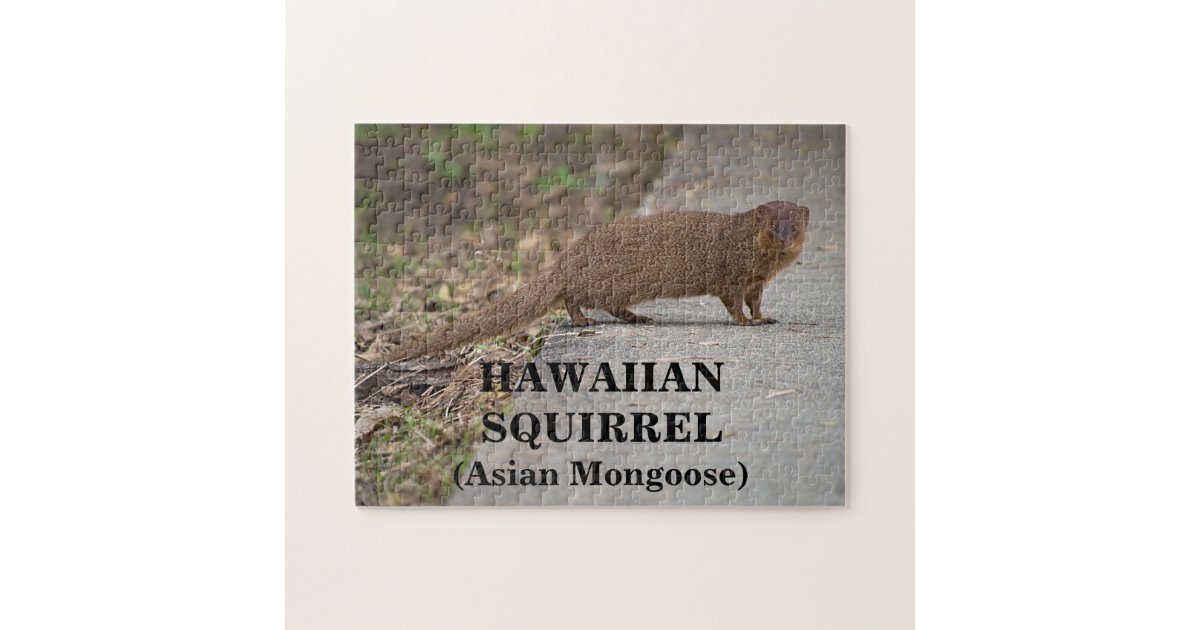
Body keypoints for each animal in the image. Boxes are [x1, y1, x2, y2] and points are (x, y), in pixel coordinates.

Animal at [364, 201, 809, 362]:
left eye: (796, 225)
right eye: (774, 226)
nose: (786, 237)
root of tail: (570, 255)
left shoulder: (757, 280)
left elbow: (755, 301)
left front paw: (764, 317)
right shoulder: (731, 273)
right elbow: (732, 302)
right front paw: (747, 323)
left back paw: (636, 318)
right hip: (605, 279)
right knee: (572, 295)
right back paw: (582, 320)